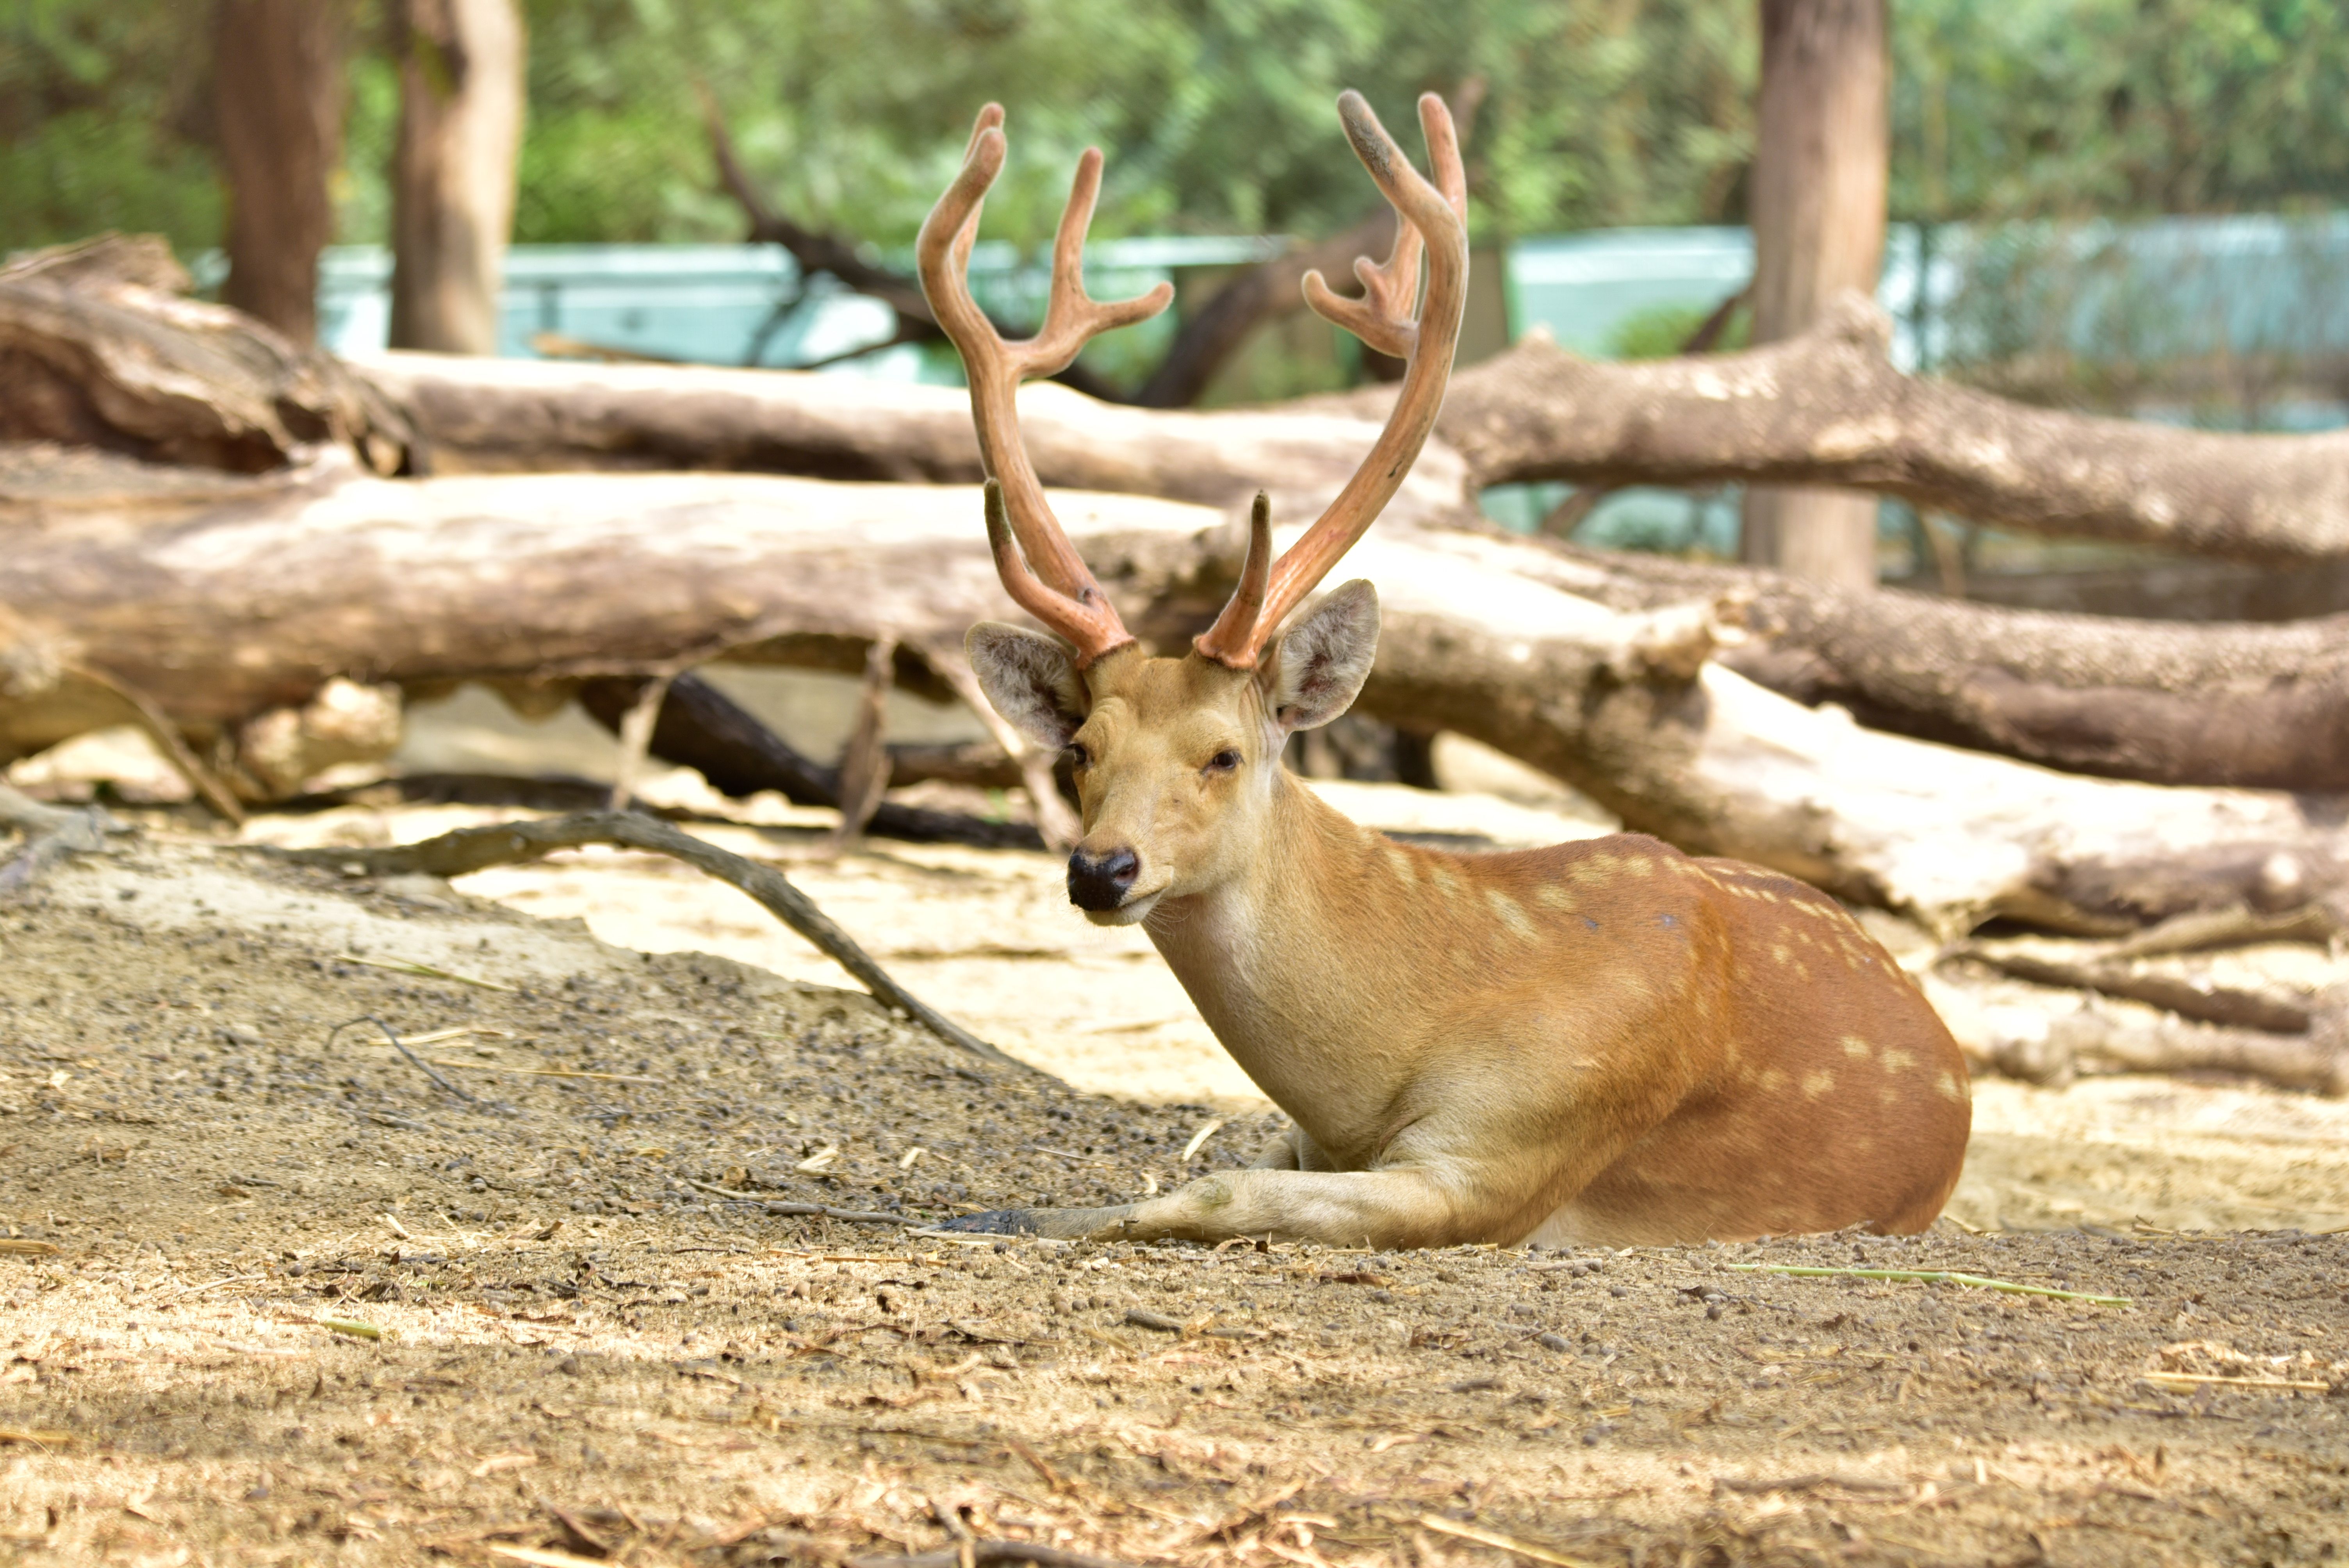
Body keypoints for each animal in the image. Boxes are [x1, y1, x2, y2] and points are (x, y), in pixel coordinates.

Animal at [917, 91, 1971, 1249]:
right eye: (1080, 750)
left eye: (1224, 754)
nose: (1100, 869)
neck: (1367, 1085)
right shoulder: (1316, 1138)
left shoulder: (1505, 1156)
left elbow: (1213, 1189)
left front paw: (992, 1216)